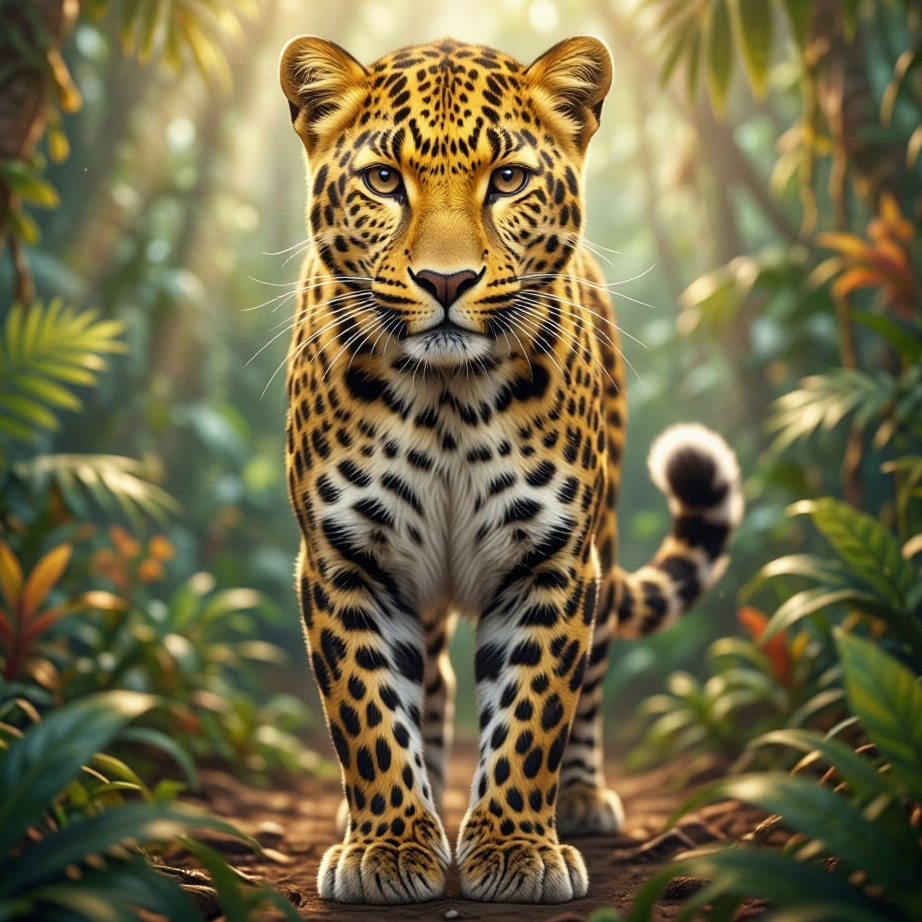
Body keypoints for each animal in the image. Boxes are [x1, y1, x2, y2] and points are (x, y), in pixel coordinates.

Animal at [278, 34, 743, 905]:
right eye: (384, 180)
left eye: (507, 179)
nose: (447, 282)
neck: (446, 398)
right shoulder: (345, 557)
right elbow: (368, 707)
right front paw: (389, 847)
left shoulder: (550, 558)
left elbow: (533, 710)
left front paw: (516, 850)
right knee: (430, 683)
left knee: (590, 680)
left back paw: (583, 799)